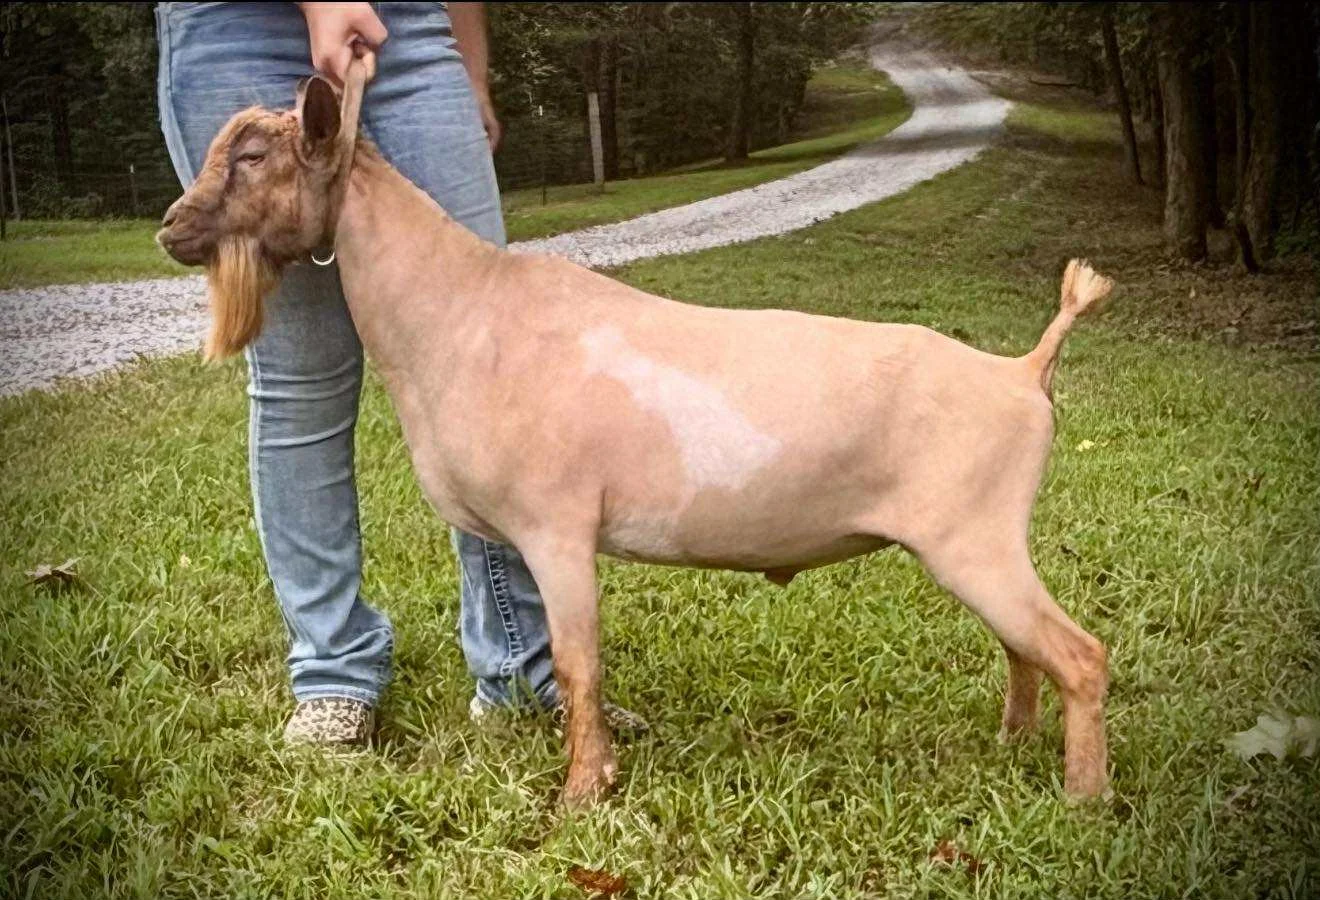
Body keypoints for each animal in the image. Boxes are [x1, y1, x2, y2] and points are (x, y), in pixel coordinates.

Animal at [158, 57, 1113, 808]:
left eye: (252, 156)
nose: (171, 227)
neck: (465, 312)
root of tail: (1021, 373)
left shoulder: (557, 525)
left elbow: (581, 664)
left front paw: (584, 793)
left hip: (976, 534)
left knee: (1080, 654)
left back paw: (1083, 797)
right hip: (975, 542)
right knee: (1024, 647)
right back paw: (1014, 741)